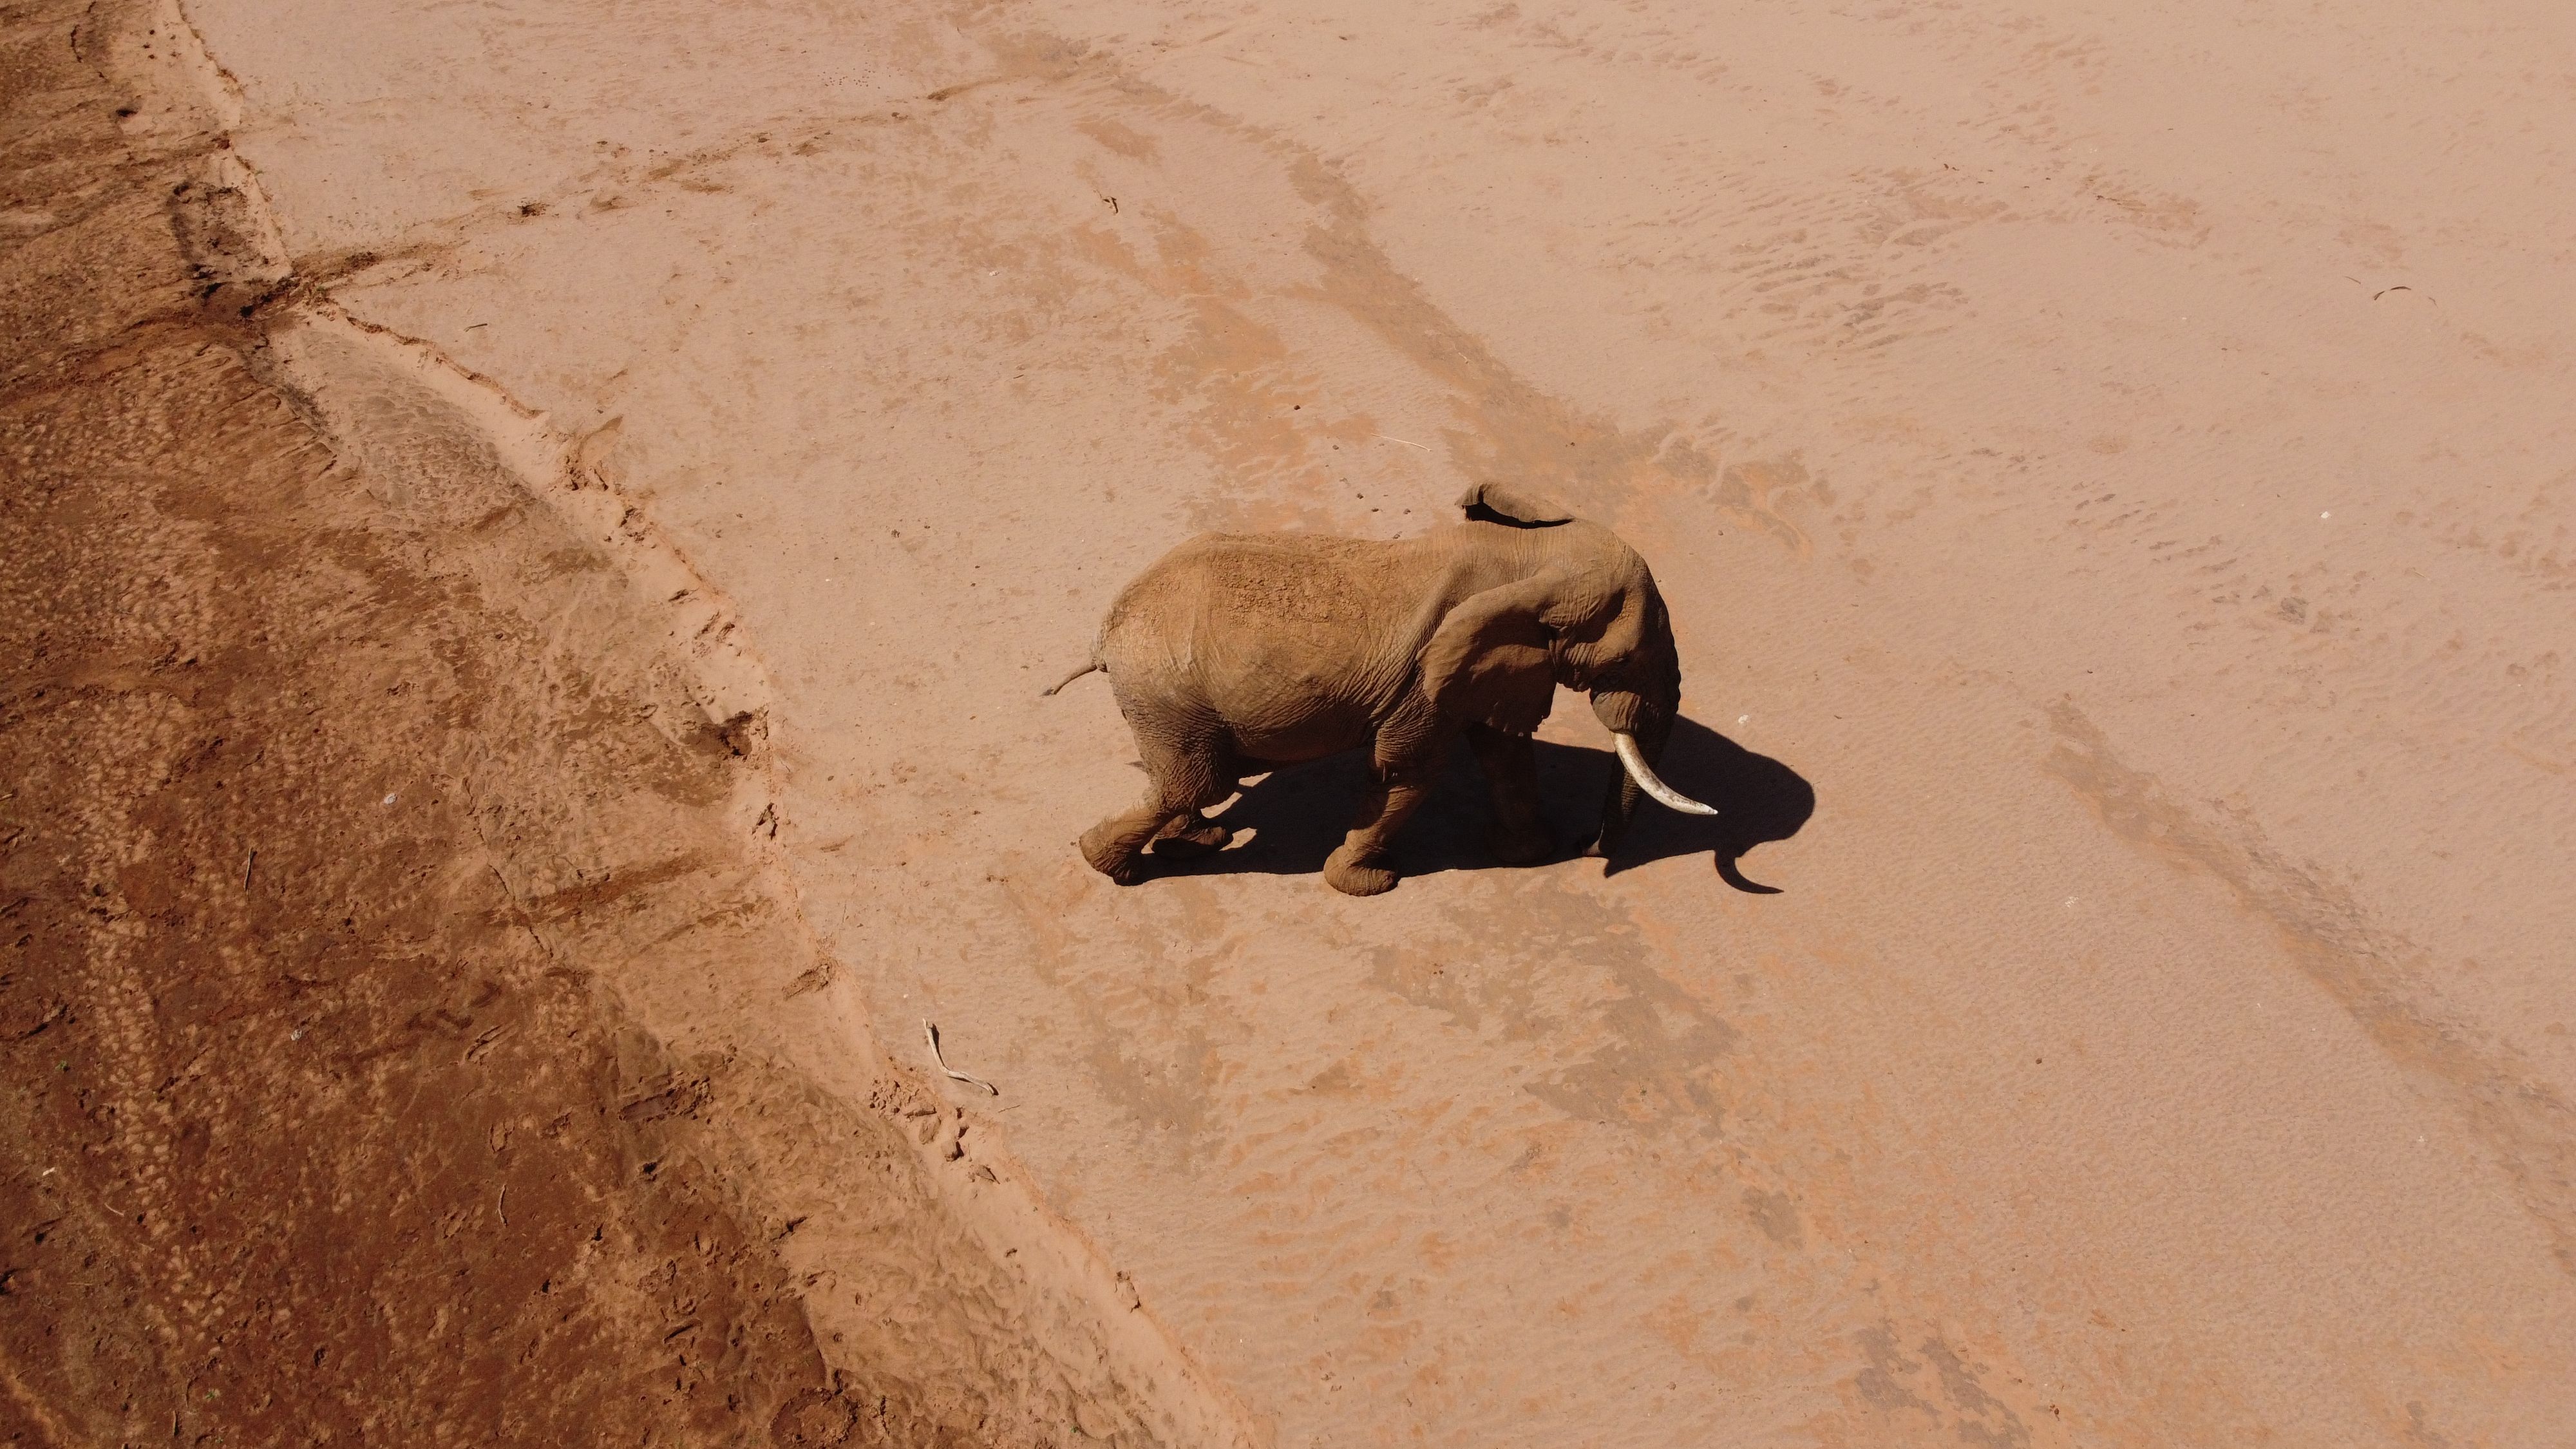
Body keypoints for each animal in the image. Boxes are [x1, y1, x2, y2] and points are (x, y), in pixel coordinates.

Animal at [1044, 483, 1717, 895]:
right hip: (1168, 696)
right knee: (1193, 783)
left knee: (1189, 781)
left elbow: (1502, 753)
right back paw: (1112, 866)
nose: (1586, 845)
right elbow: (1409, 772)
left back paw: (1192, 844)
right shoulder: (1424, 678)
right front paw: (1370, 883)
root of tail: (1106, 632)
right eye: (1629, 657)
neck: (1524, 553)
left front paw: (1528, 852)